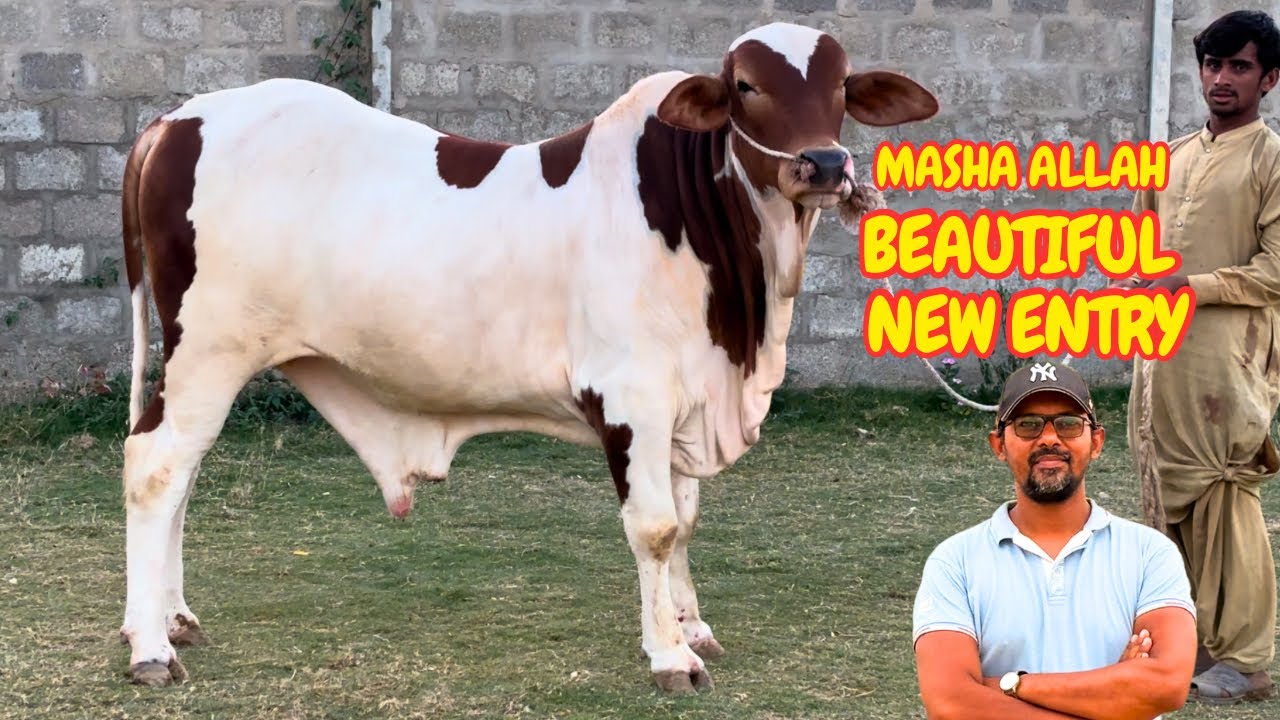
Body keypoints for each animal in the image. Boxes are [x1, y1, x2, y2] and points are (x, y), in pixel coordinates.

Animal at [116, 21, 938, 693]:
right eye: (746, 85)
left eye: (841, 84)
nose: (823, 164)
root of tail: (176, 119)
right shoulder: (632, 399)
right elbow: (654, 527)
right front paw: (670, 655)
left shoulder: (686, 400)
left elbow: (685, 521)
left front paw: (692, 625)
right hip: (205, 354)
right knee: (155, 469)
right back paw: (151, 647)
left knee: (182, 477)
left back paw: (175, 617)